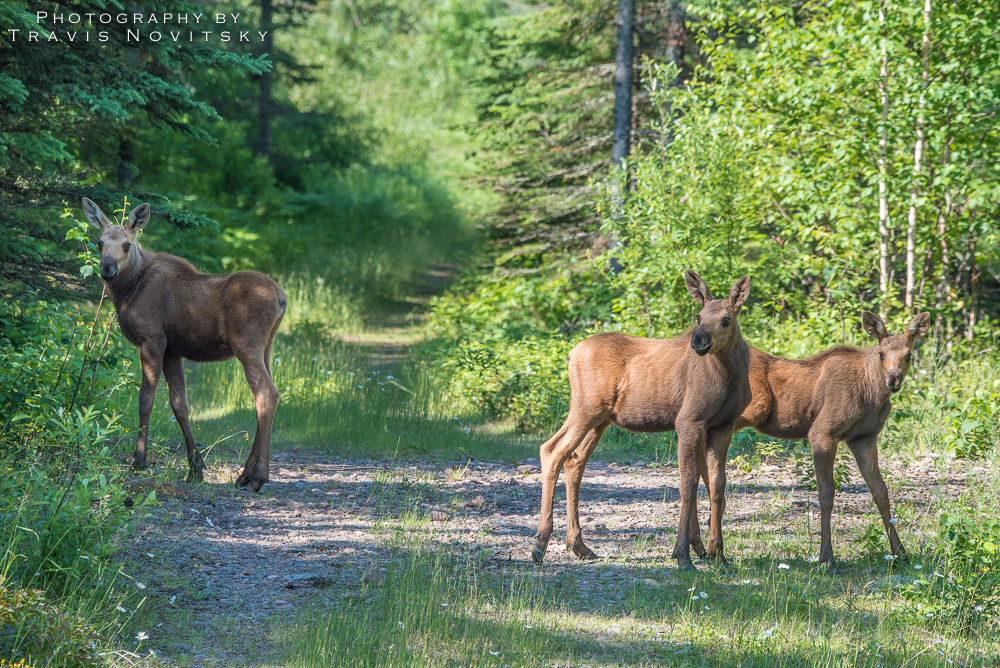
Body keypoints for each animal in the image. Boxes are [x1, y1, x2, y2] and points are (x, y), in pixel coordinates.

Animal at [82, 198, 286, 492]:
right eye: (99, 243)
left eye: (126, 245)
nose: (107, 268)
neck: (127, 291)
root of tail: (282, 299)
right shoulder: (172, 350)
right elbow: (180, 405)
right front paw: (195, 467)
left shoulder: (152, 339)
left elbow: (146, 399)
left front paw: (139, 460)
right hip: (266, 346)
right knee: (267, 394)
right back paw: (245, 474)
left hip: (246, 344)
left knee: (266, 394)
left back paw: (258, 477)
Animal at [531, 270, 752, 571]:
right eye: (698, 316)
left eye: (726, 319)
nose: (699, 341)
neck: (730, 374)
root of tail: (571, 354)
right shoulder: (689, 420)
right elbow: (689, 483)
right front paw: (683, 554)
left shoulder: (722, 426)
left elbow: (717, 485)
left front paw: (717, 553)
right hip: (586, 409)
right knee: (552, 451)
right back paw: (540, 544)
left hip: (599, 418)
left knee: (573, 460)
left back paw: (579, 546)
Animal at [734, 310, 931, 571]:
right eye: (881, 353)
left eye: (908, 355)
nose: (893, 380)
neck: (872, 394)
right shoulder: (822, 432)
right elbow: (826, 493)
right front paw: (827, 558)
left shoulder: (864, 438)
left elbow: (880, 492)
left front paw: (900, 553)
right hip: (749, 410)